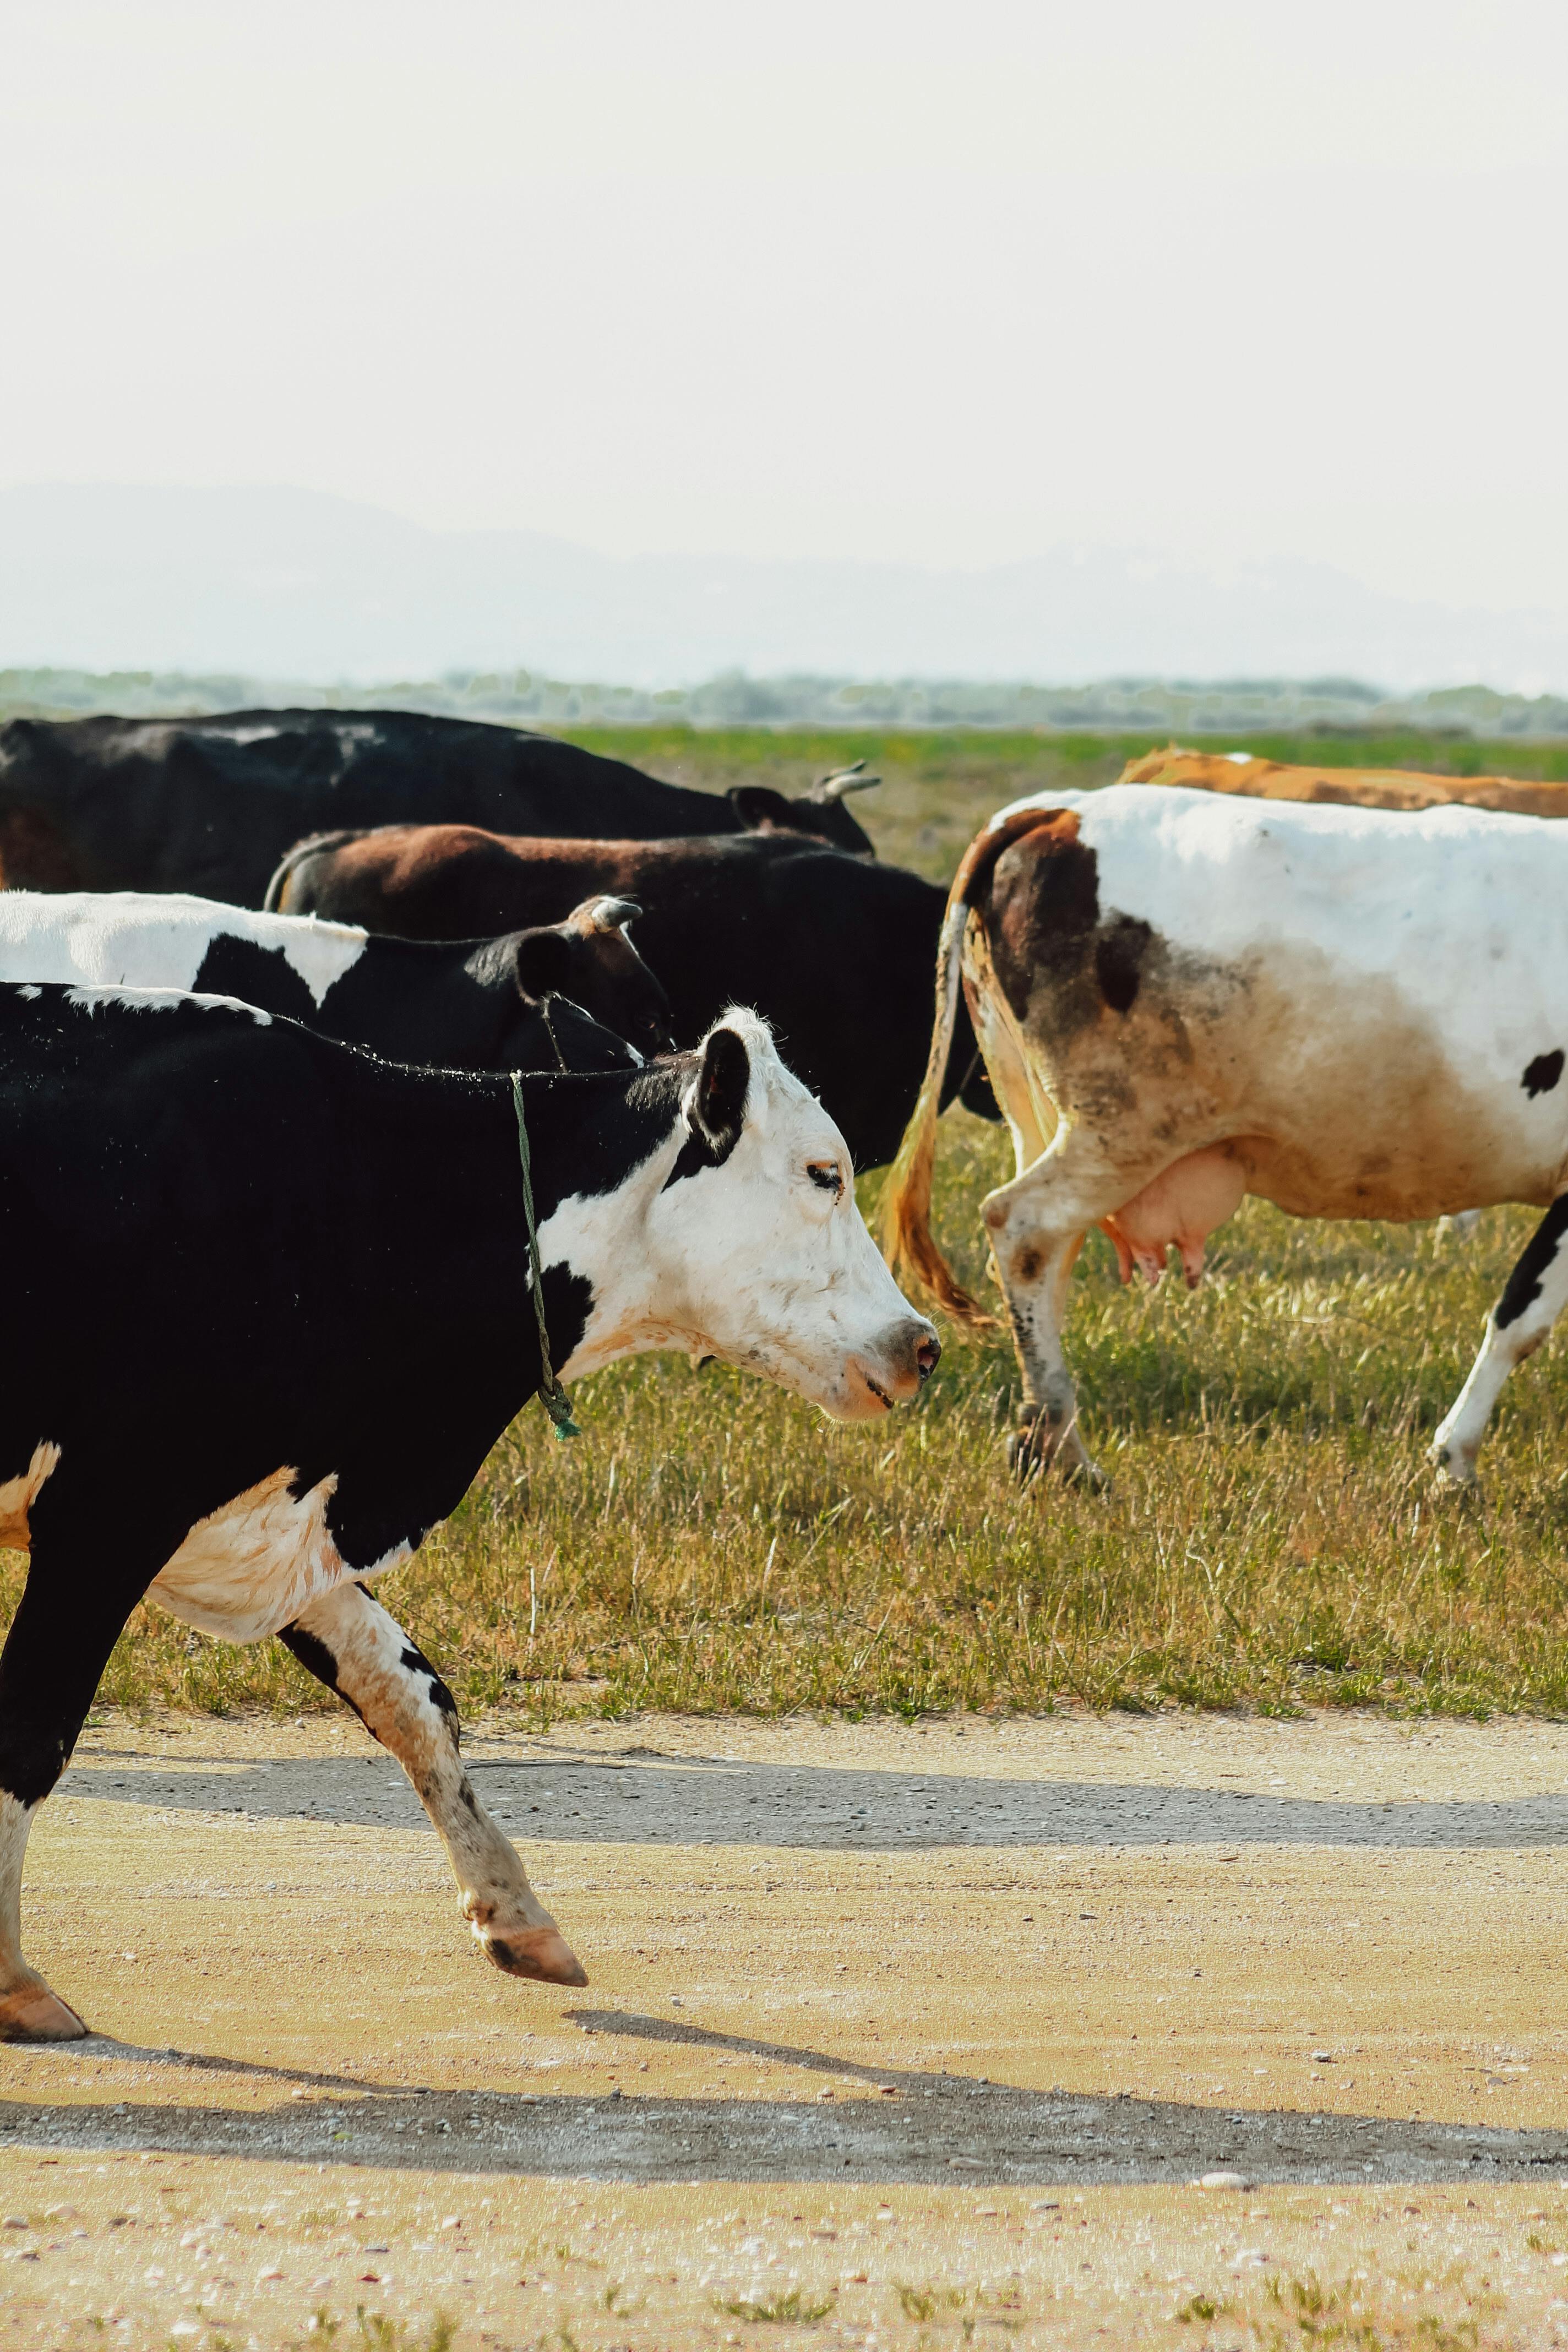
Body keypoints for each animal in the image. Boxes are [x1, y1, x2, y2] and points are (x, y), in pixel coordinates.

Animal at [0, 985, 938, 2041]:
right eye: (825, 1172)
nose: (923, 1343)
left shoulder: (276, 1522)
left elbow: (414, 1698)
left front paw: (514, 1910)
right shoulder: (108, 1516)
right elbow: (28, 1733)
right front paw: (14, 1978)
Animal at [883, 783, 1568, 1487]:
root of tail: (1057, 810)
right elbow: (1521, 1317)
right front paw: (1455, 1461)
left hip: (1037, 1107)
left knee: (1047, 1257)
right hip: (1123, 1128)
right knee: (1023, 1226)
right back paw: (1061, 1444)